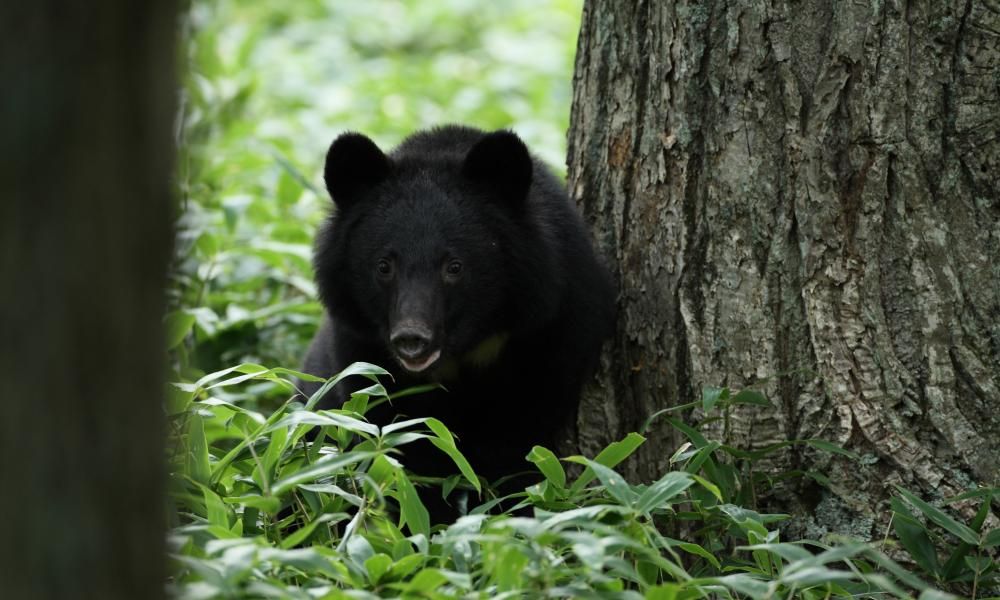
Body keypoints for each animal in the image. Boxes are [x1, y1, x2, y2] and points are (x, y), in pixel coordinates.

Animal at [300, 125, 615, 507]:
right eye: (384, 266)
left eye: (454, 266)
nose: (411, 339)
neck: (463, 351)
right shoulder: (362, 346)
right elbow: (396, 434)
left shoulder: (552, 331)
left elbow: (518, 441)